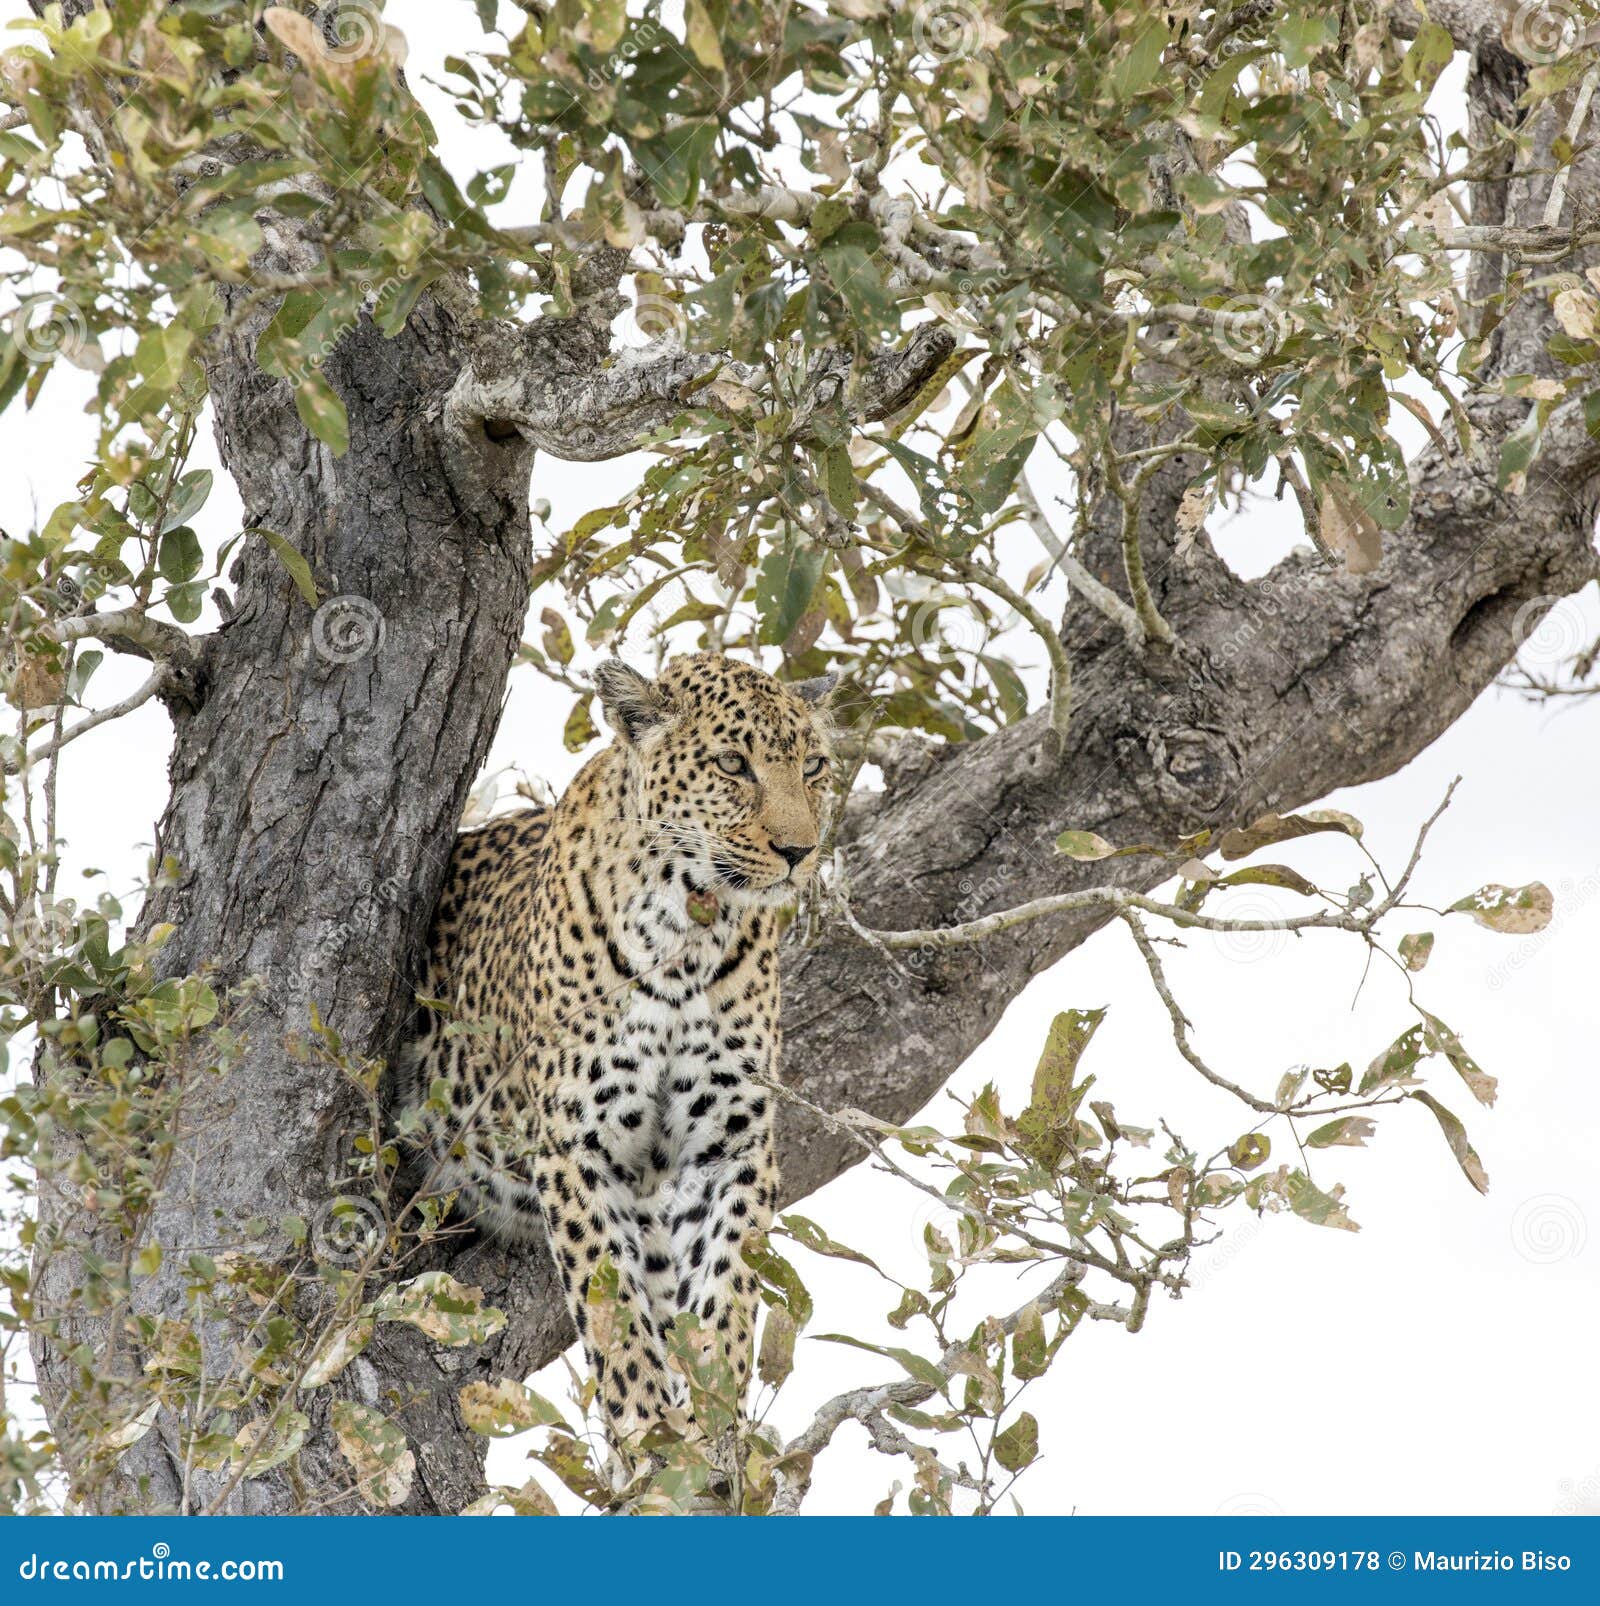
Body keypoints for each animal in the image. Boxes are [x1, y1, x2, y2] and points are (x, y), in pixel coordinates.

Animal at [396, 652, 834, 1468]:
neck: (691, 931)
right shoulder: (579, 1144)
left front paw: (715, 1430)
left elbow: (727, 1291)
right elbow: (613, 1313)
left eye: (814, 767)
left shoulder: (731, 1143)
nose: (800, 853)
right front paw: (650, 1439)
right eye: (734, 765)